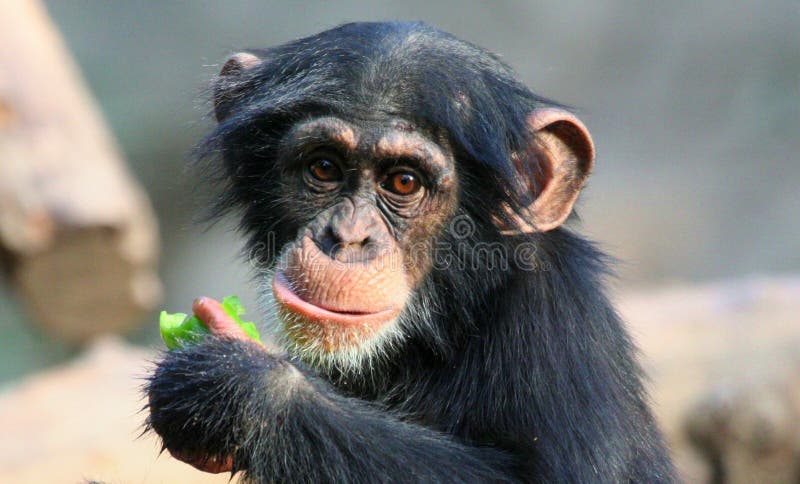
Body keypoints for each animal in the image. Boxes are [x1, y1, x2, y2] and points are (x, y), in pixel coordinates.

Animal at [145, 21, 674, 483]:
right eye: (323, 168)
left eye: (404, 181)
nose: (347, 237)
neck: (449, 315)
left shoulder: (556, 327)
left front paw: (235, 385)